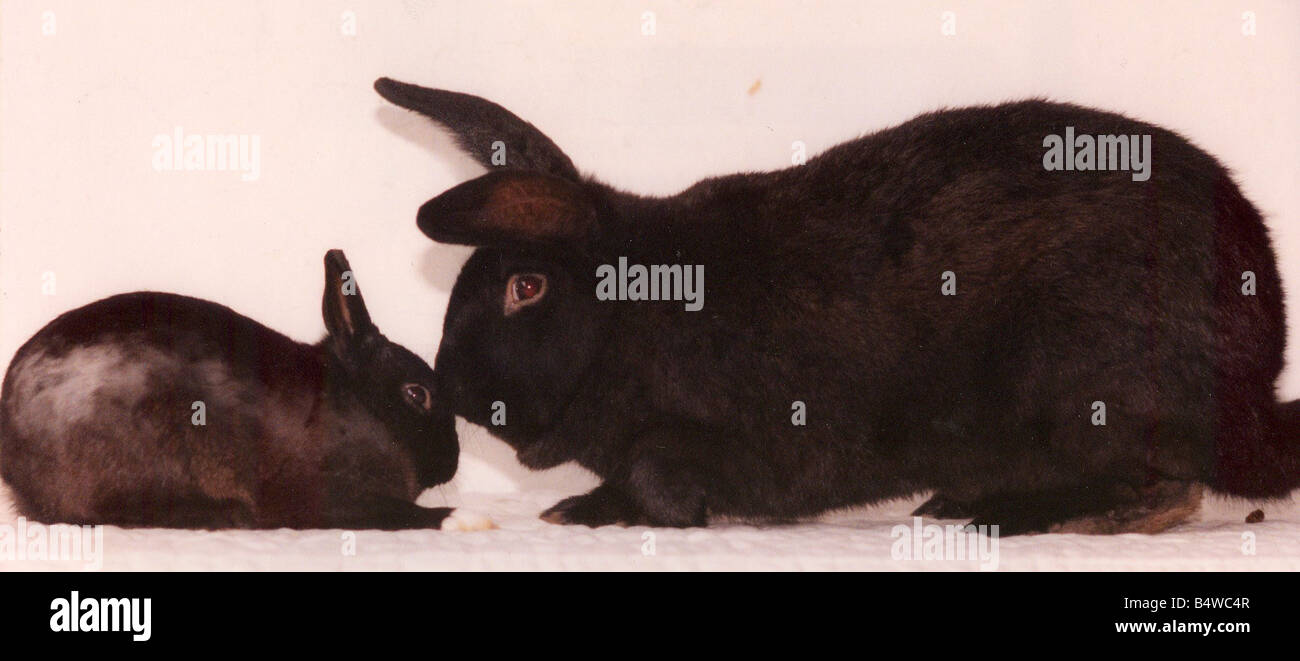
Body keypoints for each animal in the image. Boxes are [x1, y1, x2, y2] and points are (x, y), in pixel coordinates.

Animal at [0, 250, 491, 531]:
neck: (361, 407)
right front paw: (463, 518)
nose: (451, 464)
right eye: (416, 394)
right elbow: (397, 514)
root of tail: (14, 457)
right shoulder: (321, 495)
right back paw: (225, 514)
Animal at [375, 77, 1299, 535]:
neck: (630, 317)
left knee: (1160, 487)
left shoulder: (711, 436)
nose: (452, 385)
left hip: (1083, 388)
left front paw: (605, 511)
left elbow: (659, 476)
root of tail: (1255, 392)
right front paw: (583, 507)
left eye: (525, 288)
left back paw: (1001, 516)